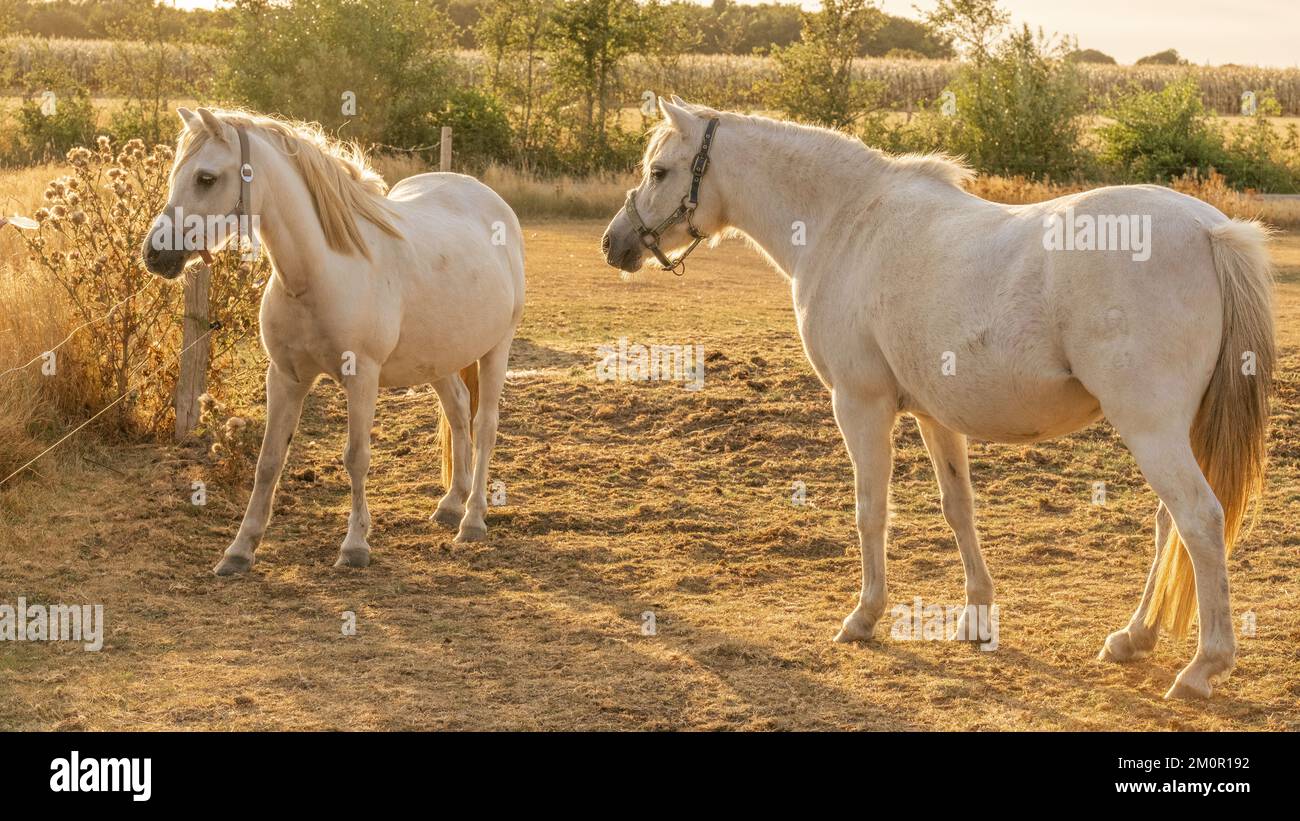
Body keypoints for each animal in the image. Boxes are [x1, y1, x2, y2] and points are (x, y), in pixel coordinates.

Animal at [144, 107, 524, 574]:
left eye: (206, 178)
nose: (154, 254)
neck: (318, 272)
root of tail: (491, 202)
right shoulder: (285, 378)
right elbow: (269, 461)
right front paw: (239, 549)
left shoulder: (362, 379)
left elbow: (356, 458)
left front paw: (355, 545)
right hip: (439, 358)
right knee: (456, 411)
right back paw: (452, 504)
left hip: (496, 350)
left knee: (484, 425)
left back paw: (472, 519)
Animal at [602, 97, 1275, 699]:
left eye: (659, 172)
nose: (615, 244)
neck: (846, 224)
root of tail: (1211, 230)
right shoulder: (934, 416)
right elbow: (959, 509)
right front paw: (977, 617)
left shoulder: (860, 405)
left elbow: (871, 511)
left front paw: (864, 617)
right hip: (1172, 431)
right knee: (1170, 526)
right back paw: (1134, 638)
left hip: (1150, 428)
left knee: (1199, 519)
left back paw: (1202, 669)